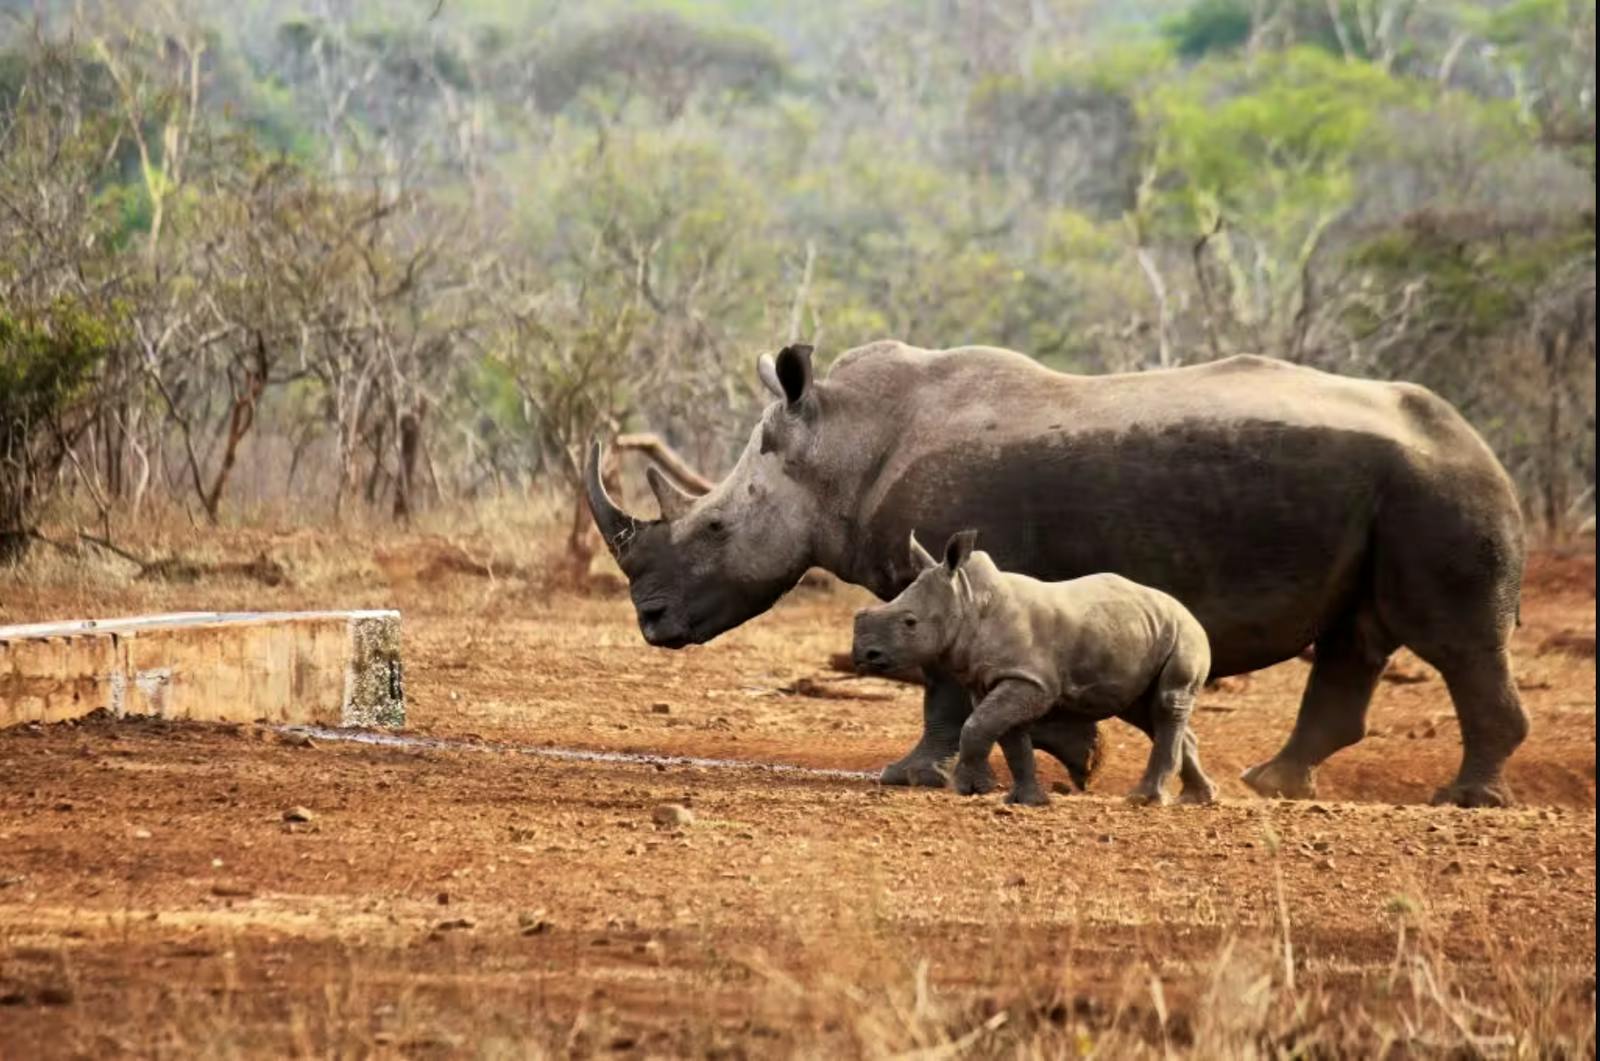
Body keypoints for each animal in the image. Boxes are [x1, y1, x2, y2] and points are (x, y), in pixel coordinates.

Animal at [852, 530, 1218, 808]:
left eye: (910, 622)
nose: (863, 655)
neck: (969, 601)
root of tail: (1183, 607)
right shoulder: (998, 680)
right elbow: (1007, 734)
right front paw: (1027, 801)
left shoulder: (1029, 680)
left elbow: (978, 725)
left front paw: (973, 789)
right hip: (1142, 633)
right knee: (1144, 710)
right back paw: (1200, 799)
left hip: (1185, 632)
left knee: (1167, 702)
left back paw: (1145, 800)